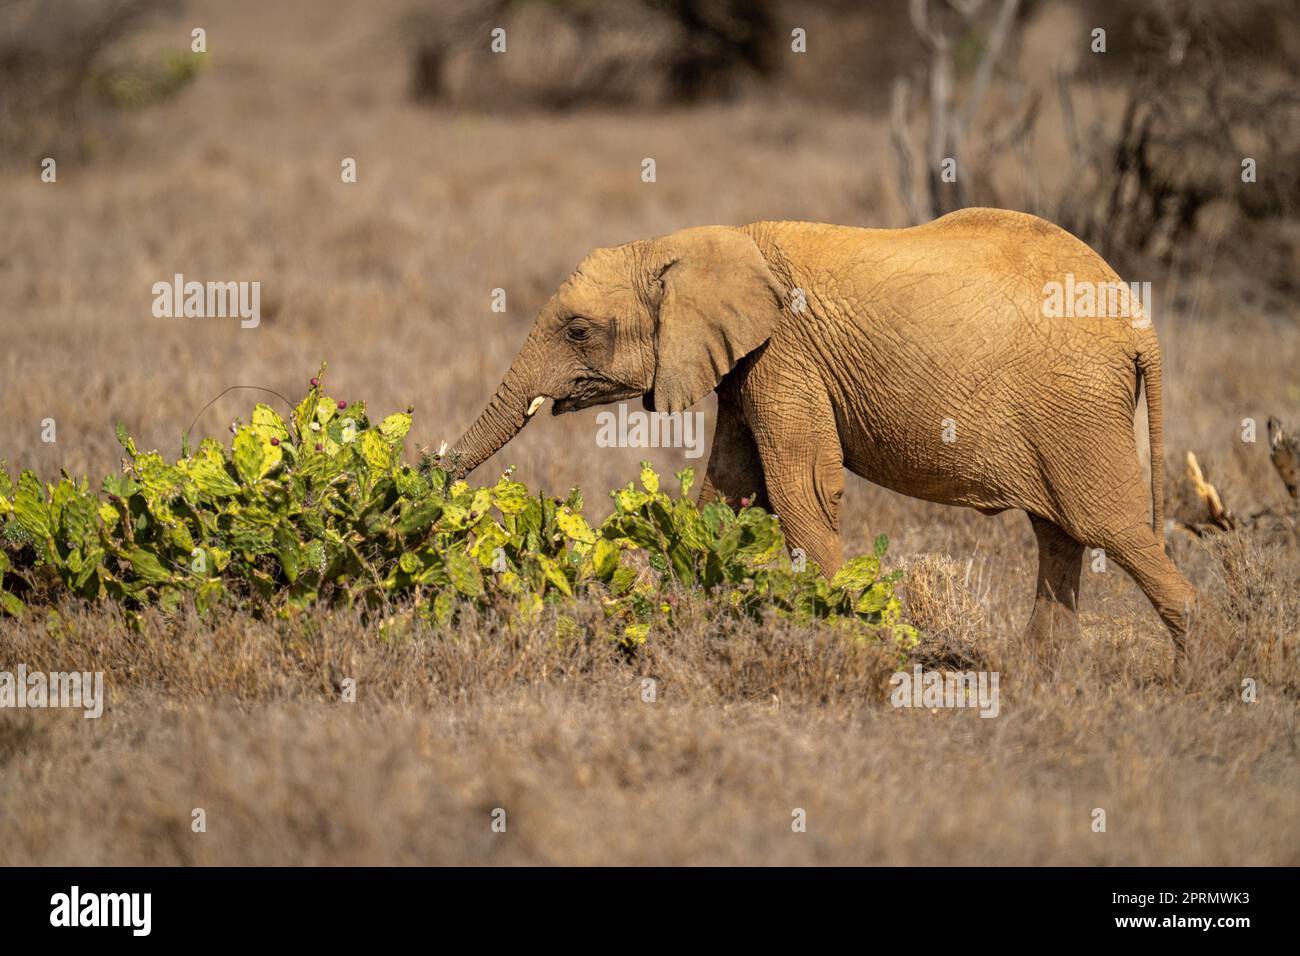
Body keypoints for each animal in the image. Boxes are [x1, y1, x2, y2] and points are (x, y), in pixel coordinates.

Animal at [447, 208, 1196, 643]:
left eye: (578, 330)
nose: (437, 474)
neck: (682, 243)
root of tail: (1142, 326)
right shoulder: (751, 365)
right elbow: (728, 491)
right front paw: (673, 621)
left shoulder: (785, 353)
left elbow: (801, 492)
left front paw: (851, 636)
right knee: (1060, 535)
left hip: (1075, 405)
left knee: (1109, 527)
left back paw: (1201, 667)